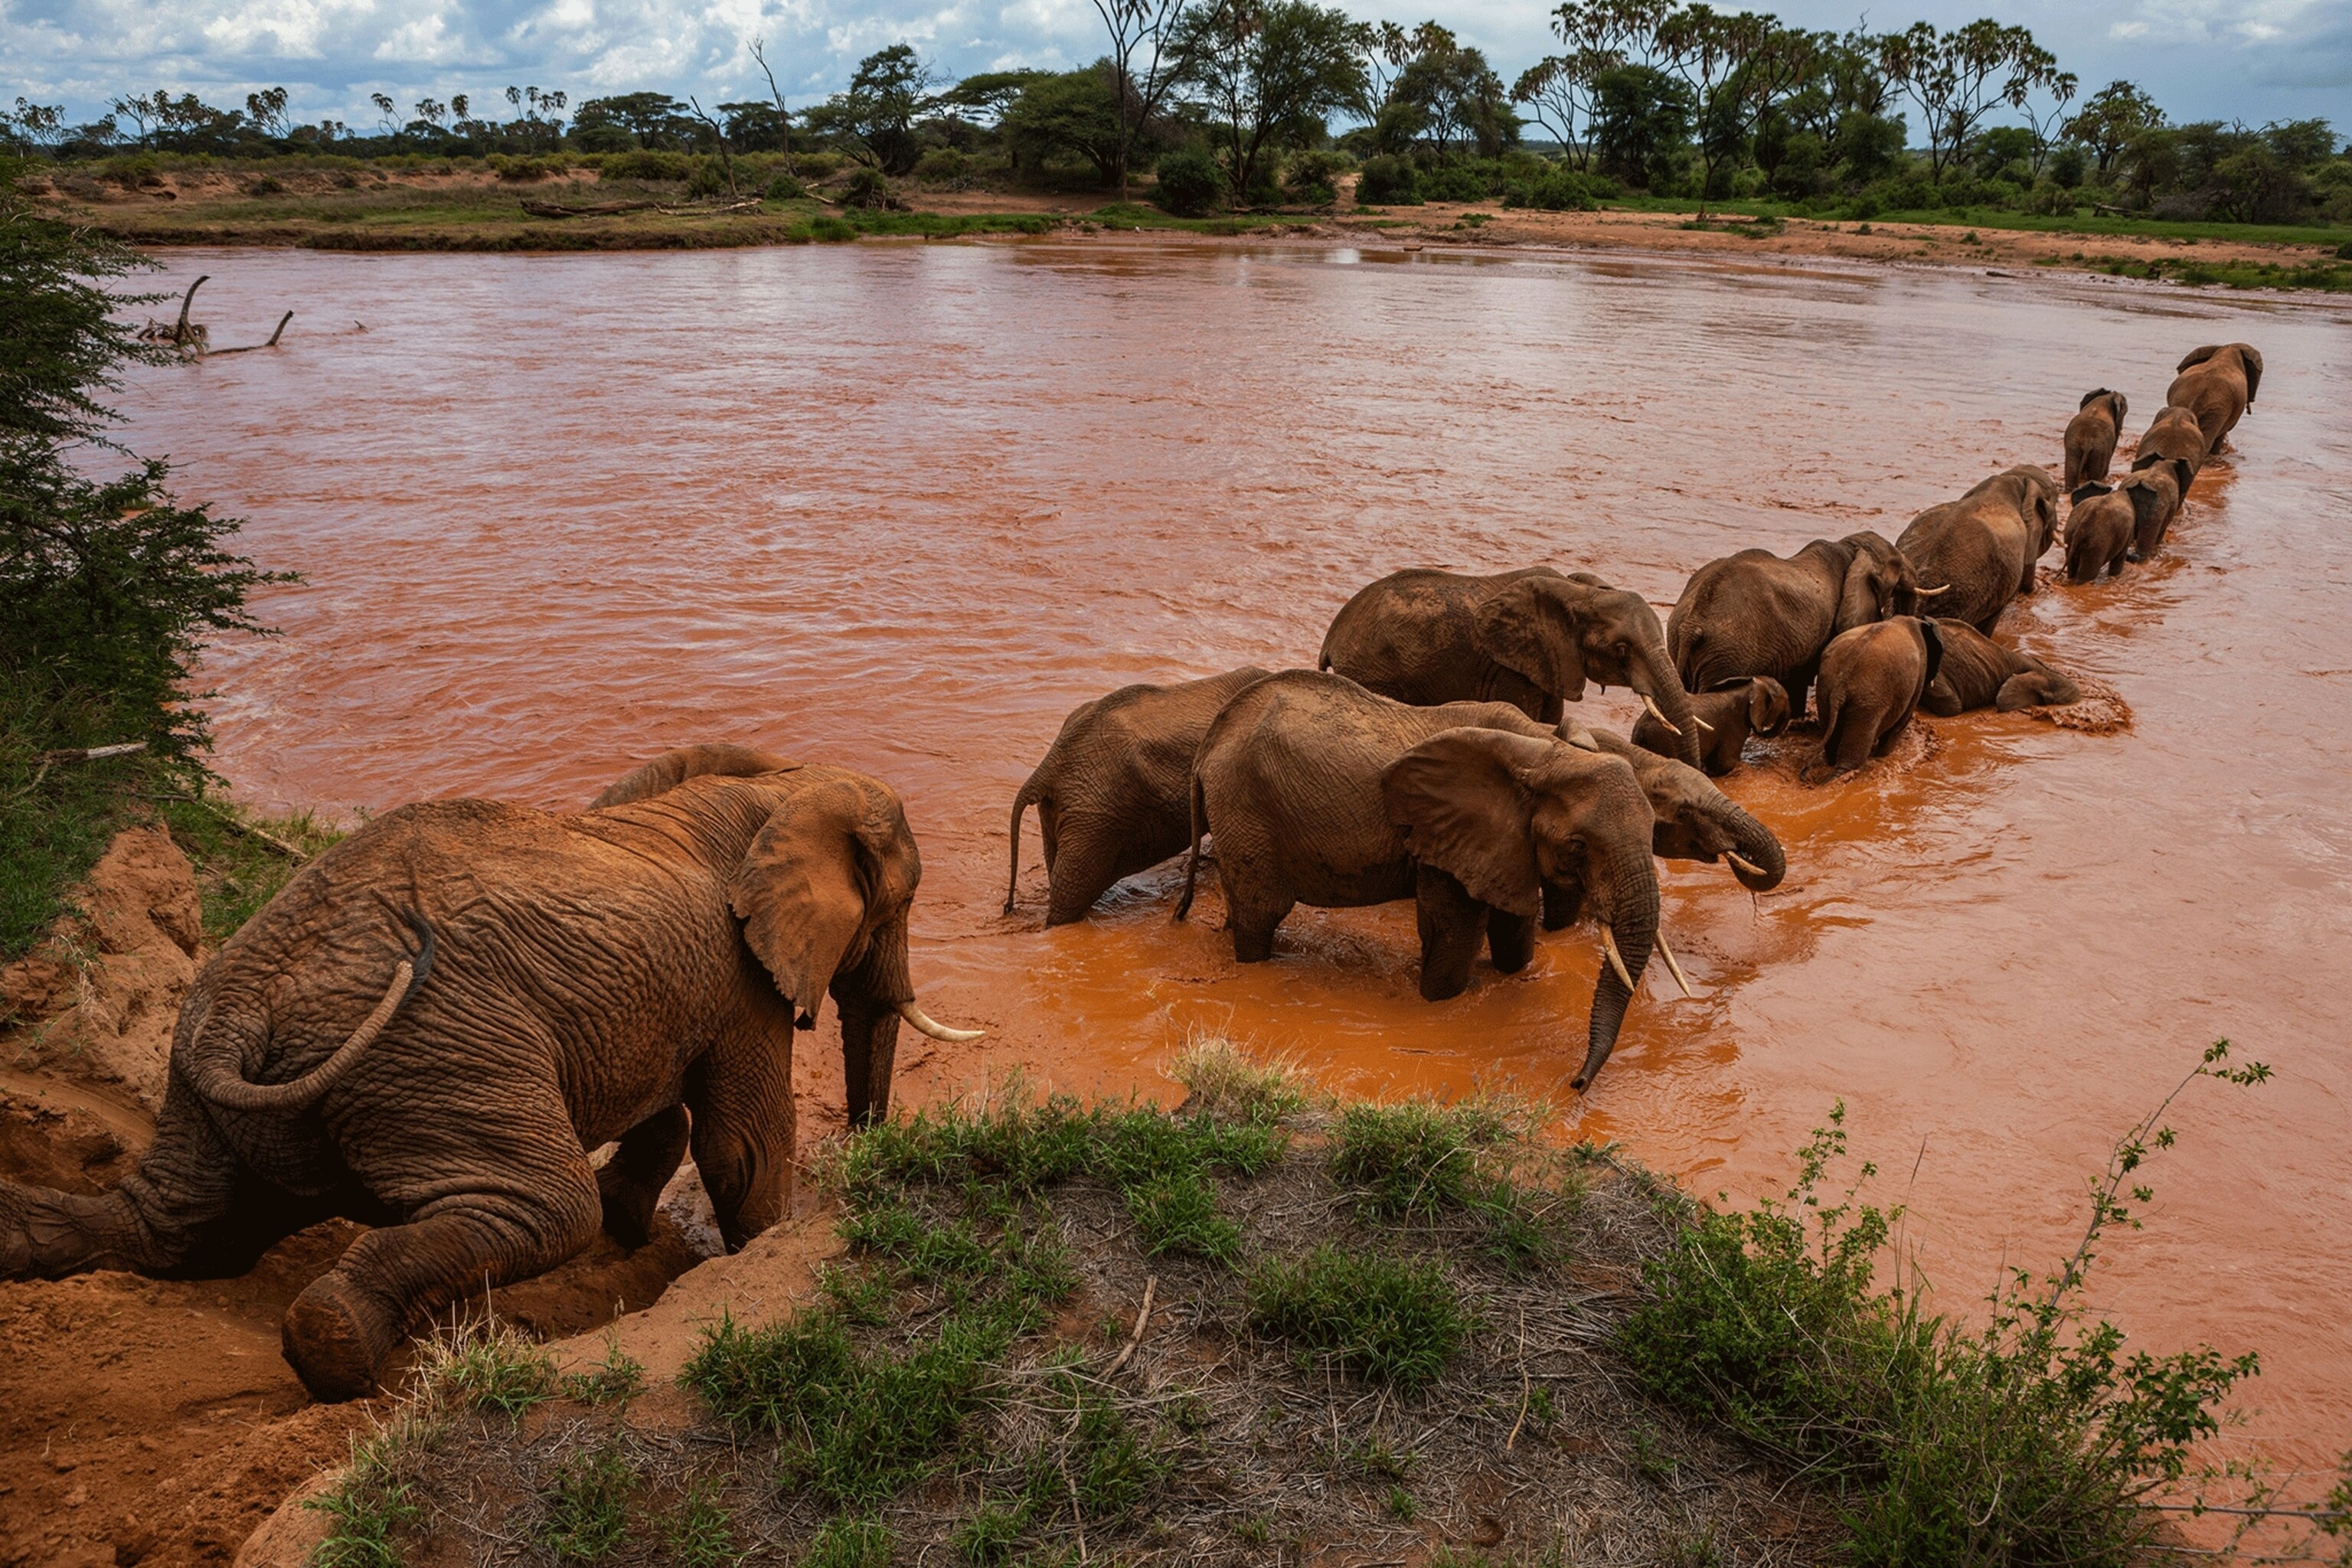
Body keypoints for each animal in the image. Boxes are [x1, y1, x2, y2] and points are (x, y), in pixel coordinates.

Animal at [0, 748, 982, 1402]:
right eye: (896, 905)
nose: (866, 1152)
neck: (781, 782)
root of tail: (244, 1003)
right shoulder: (737, 975)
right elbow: (739, 1145)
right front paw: (754, 1251)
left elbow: (668, 1114)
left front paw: (637, 1233)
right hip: (435, 1051)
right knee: (544, 1205)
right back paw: (345, 1358)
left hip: (202, 1071)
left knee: (176, 1221)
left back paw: (20, 1241)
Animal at [1174, 671, 1660, 1092]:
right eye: (1579, 845)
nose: (1576, 1083)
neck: (1547, 752)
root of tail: (1209, 744)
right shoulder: (1452, 836)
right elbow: (1458, 931)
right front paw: (1440, 1002)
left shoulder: (1503, 844)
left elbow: (1512, 934)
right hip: (1245, 809)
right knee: (1260, 916)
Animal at [1318, 567, 1704, 769]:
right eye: (1622, 650)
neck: (1579, 593)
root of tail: (1331, 638)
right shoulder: (1510, 666)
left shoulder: (1548, 661)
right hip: (1374, 672)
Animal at [1630, 675, 1790, 777]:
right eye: (1785, 701)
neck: (1752, 686)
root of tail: (1640, 728)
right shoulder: (1736, 724)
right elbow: (1726, 763)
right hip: (1665, 740)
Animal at [1813, 617, 1944, 777]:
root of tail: (1841, 684)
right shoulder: (1919, 675)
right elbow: (1901, 721)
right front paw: (1883, 755)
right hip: (1868, 700)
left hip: (1825, 689)